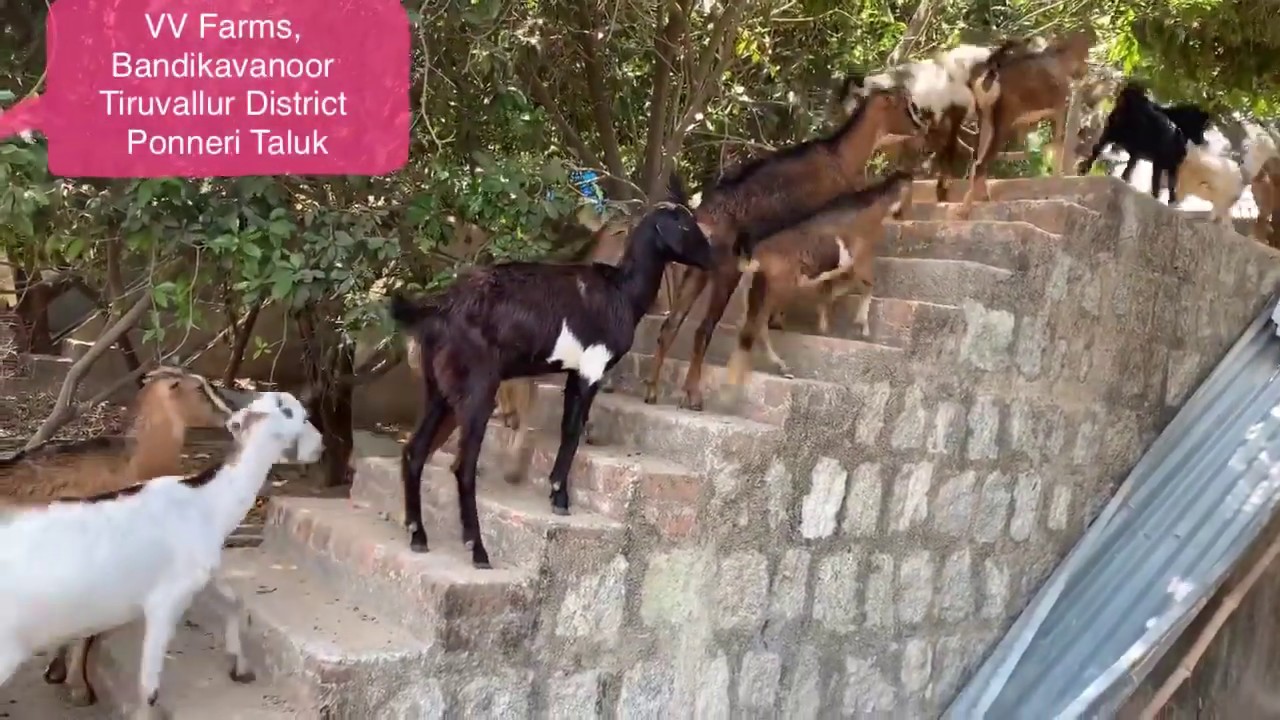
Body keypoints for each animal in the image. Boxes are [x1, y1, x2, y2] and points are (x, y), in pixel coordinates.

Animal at [389, 178, 713, 568]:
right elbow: (571, 431)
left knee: (414, 451)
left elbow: (566, 427)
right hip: (477, 388)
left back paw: (418, 536)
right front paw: (560, 498)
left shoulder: (575, 371)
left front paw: (555, 490)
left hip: (438, 387)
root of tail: (439, 308)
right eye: (685, 226)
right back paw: (478, 550)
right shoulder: (592, 368)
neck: (621, 290)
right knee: (462, 466)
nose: (713, 257)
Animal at [726, 171, 913, 386]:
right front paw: (862, 326)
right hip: (775, 291)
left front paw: (824, 325)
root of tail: (754, 260)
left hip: (754, 294)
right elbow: (866, 288)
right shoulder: (860, 263)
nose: (905, 217)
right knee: (757, 328)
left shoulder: (842, 270)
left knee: (750, 329)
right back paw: (781, 366)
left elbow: (829, 293)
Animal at [961, 28, 1097, 216]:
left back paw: (978, 199)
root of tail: (990, 76)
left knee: (976, 161)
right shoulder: (1059, 111)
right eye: (1085, 52)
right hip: (1003, 124)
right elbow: (1058, 146)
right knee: (981, 164)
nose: (1085, 71)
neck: (1058, 61)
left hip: (986, 121)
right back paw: (966, 209)